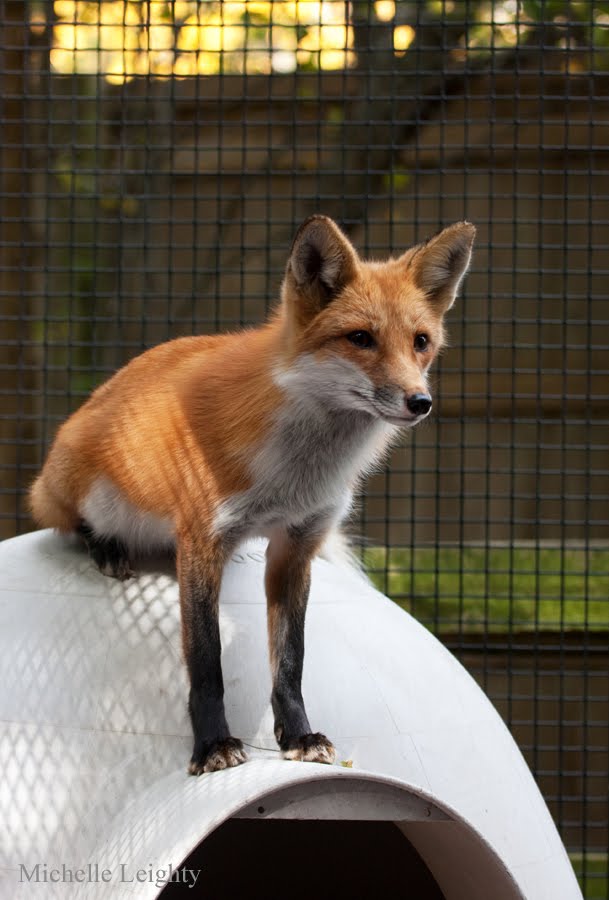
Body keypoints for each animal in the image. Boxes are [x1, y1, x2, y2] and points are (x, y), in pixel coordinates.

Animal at [30, 215, 475, 774]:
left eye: (420, 341)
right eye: (361, 338)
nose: (420, 401)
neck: (296, 475)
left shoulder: (296, 546)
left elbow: (290, 664)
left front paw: (298, 736)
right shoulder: (202, 541)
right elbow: (207, 664)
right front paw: (213, 746)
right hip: (73, 485)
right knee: (65, 521)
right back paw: (106, 546)